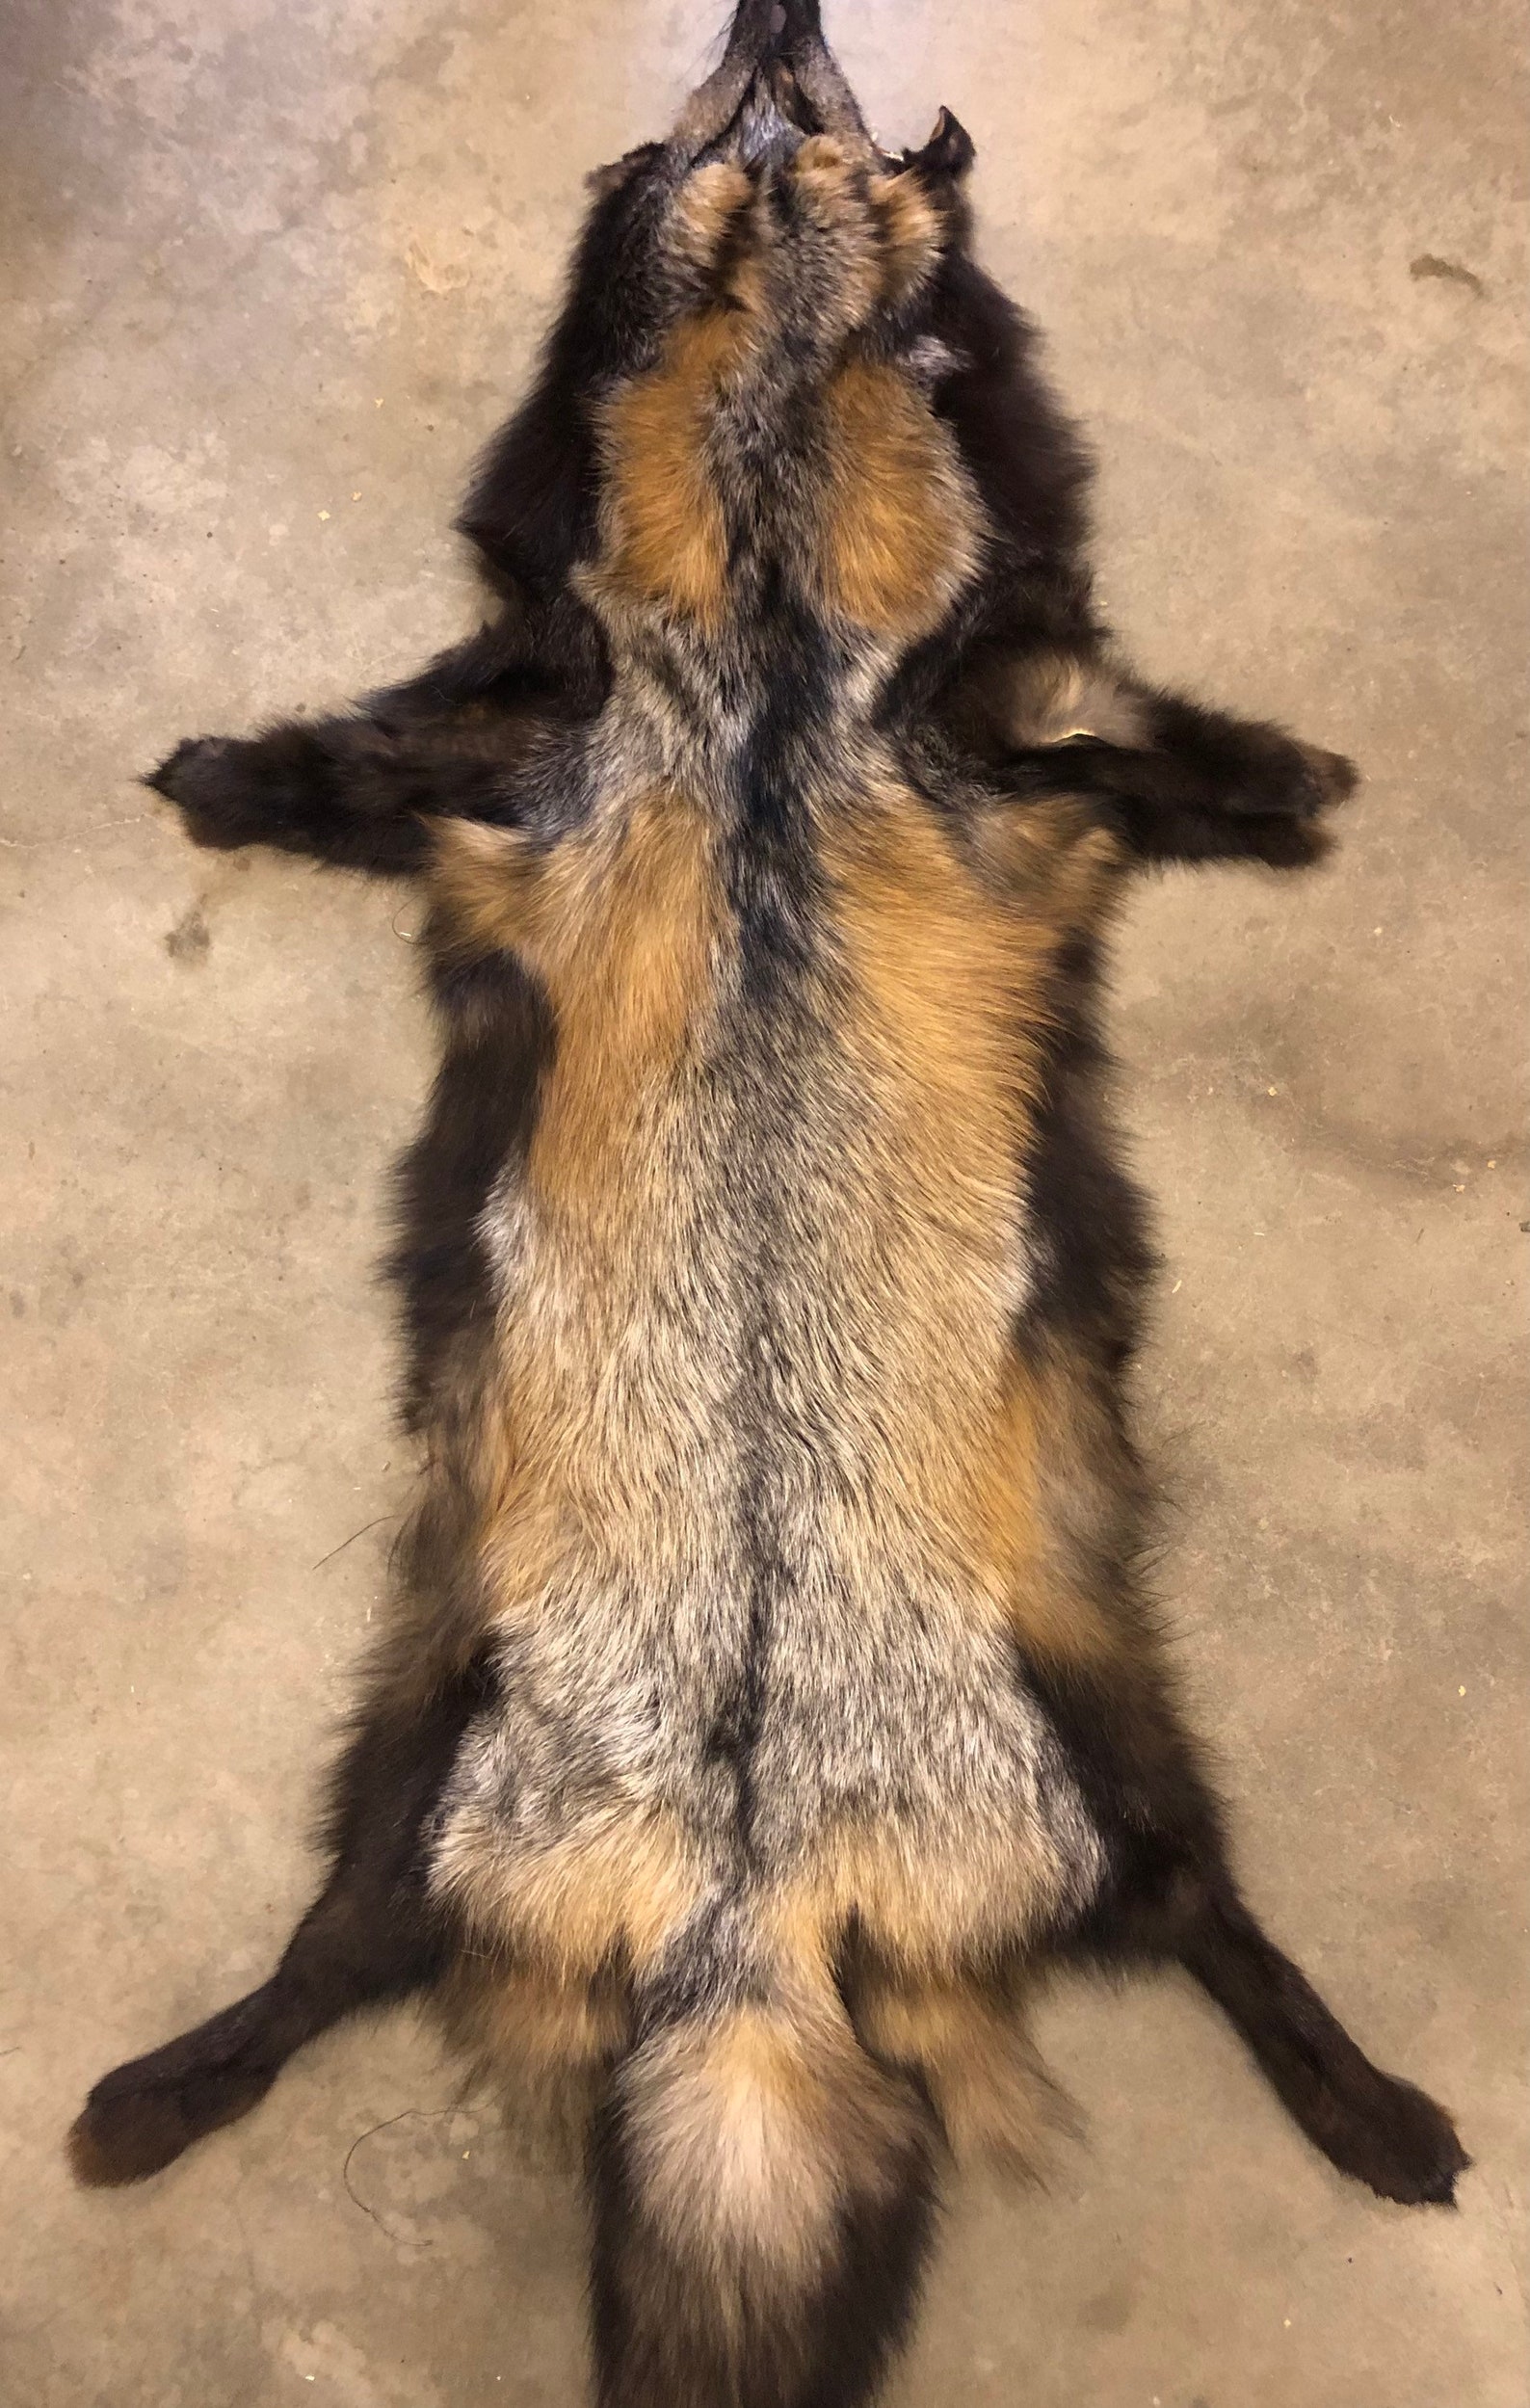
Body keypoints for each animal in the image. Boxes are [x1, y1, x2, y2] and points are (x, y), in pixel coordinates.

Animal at [70, 4, 1468, 2402]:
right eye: (750, 111)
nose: (775, 11)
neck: (776, 591)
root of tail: (754, 1910)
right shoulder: (543, 720)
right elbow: (362, 752)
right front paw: (231, 773)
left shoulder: (984, 721)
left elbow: (1153, 745)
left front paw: (1287, 776)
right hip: (426, 1734)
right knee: (328, 1950)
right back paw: (160, 2084)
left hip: (1103, 1735)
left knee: (1220, 1925)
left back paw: (1370, 2104)